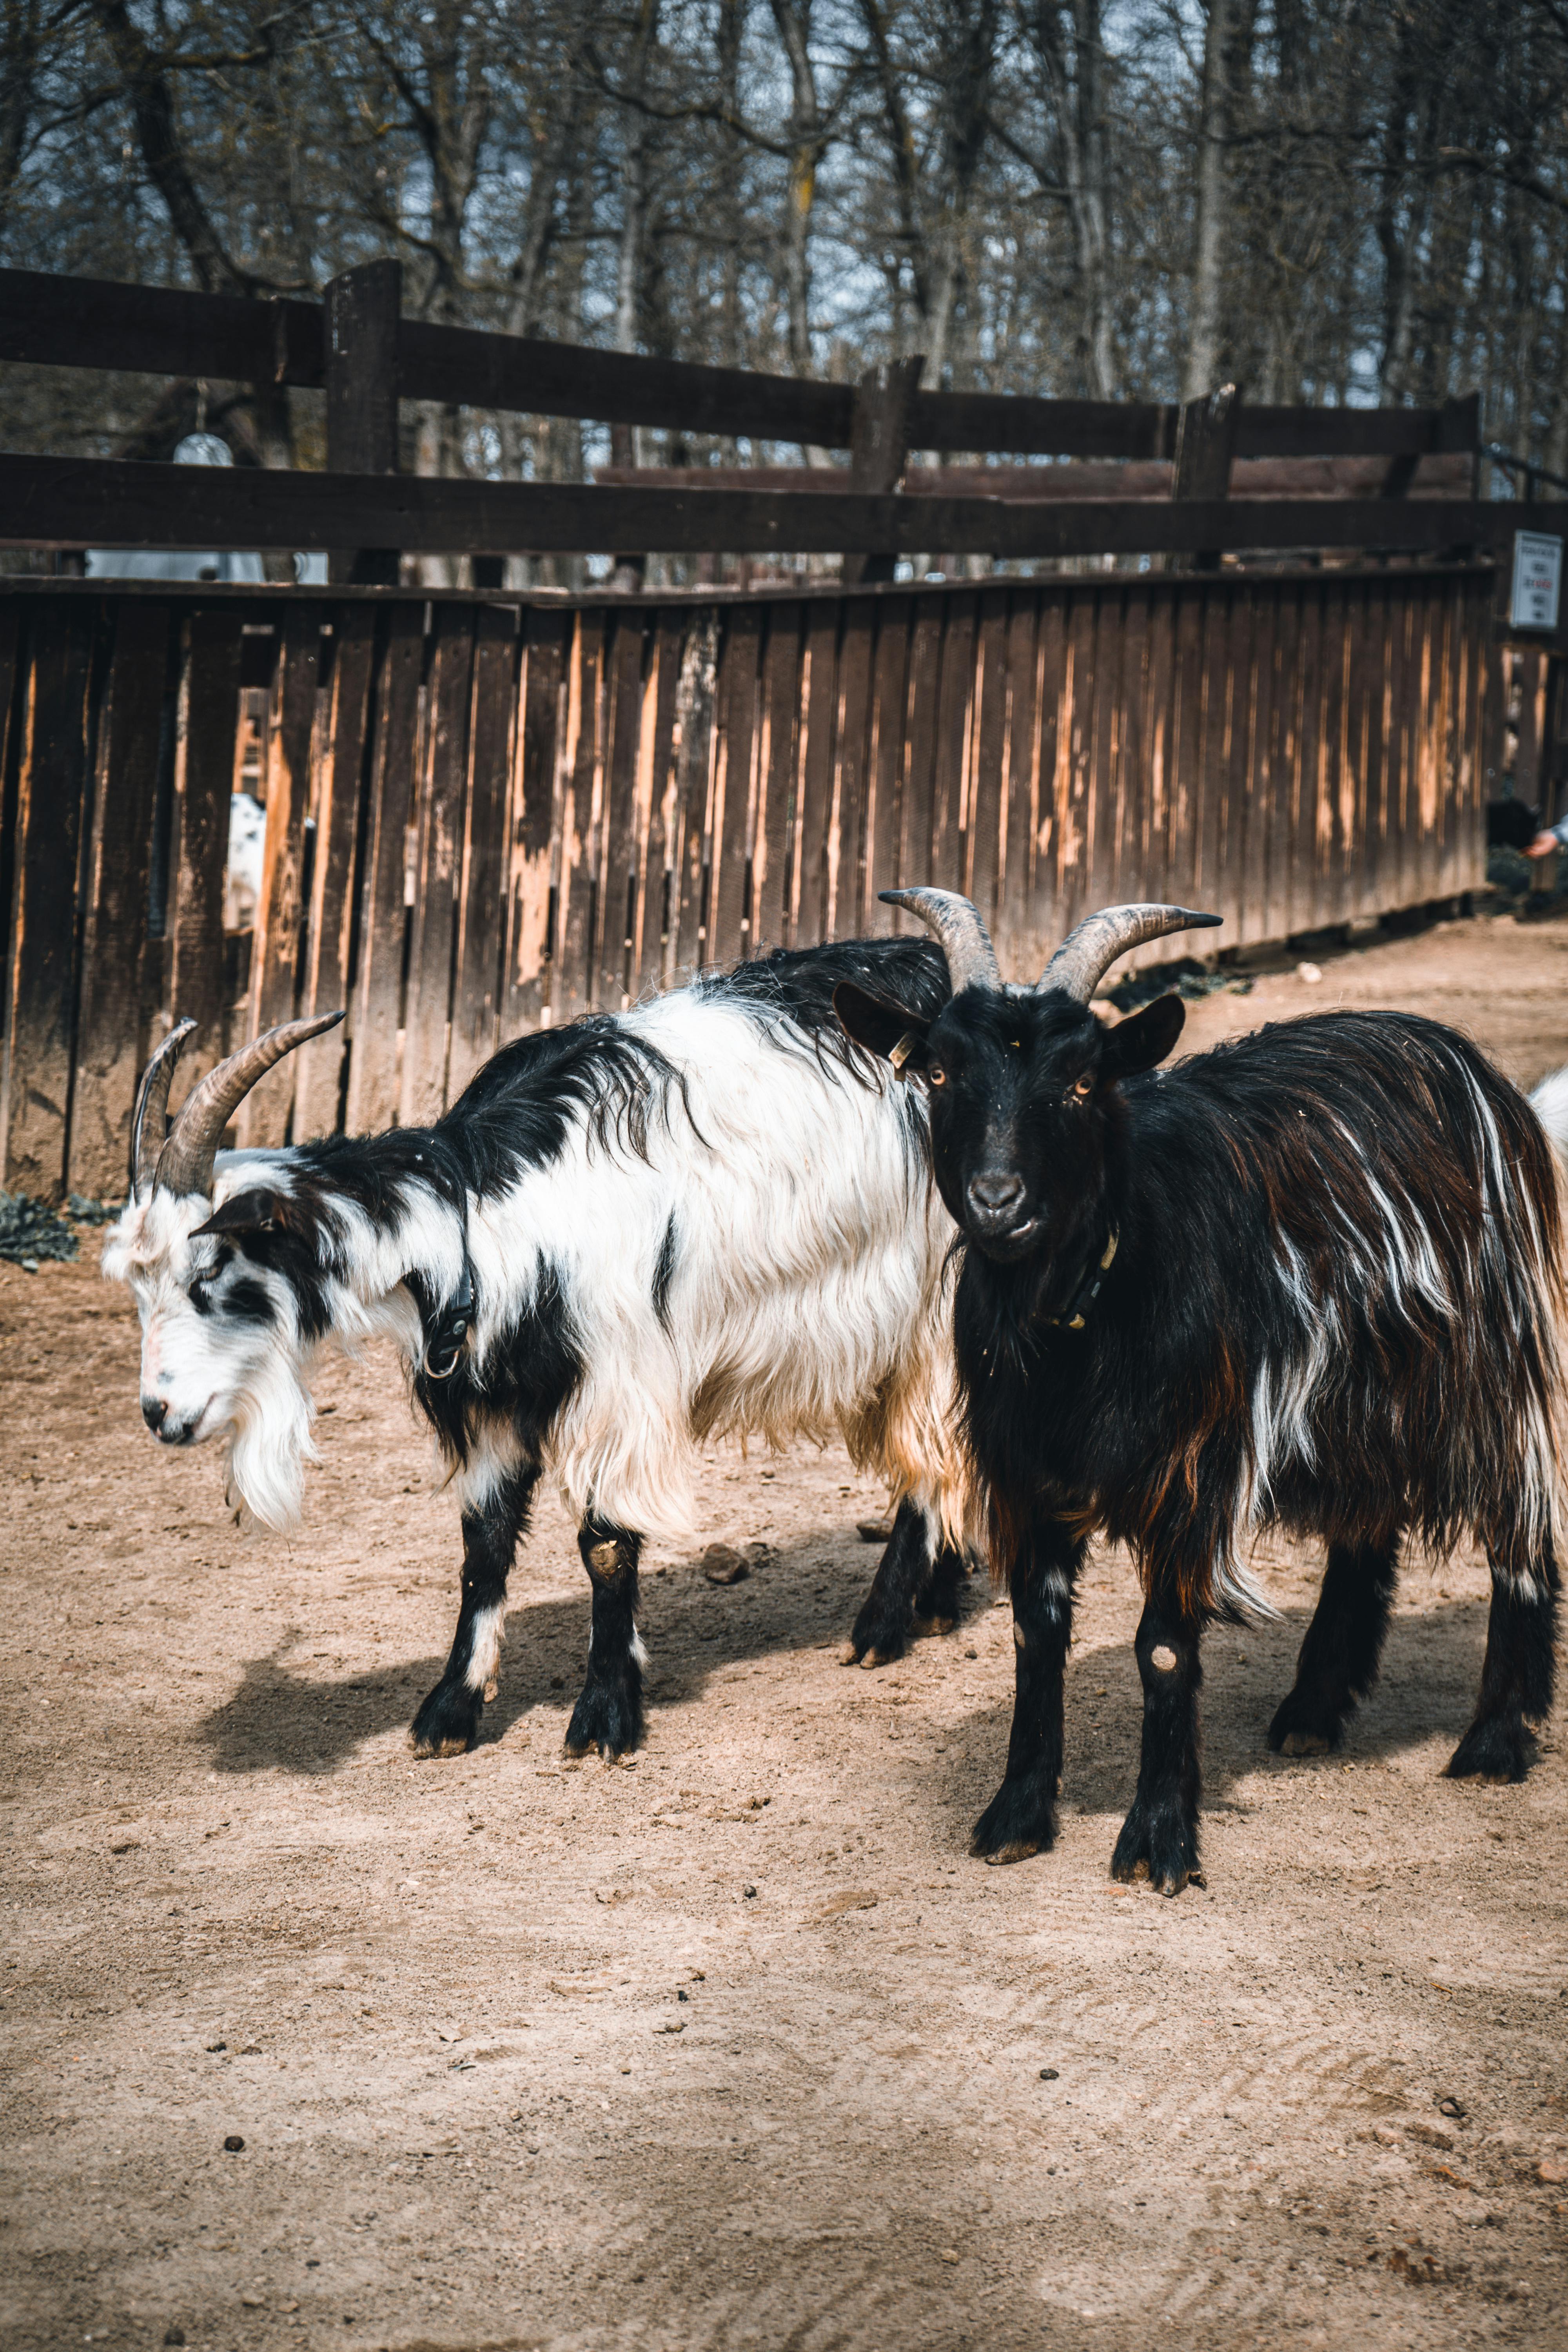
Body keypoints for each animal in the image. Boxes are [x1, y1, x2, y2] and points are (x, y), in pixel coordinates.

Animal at [104, 939, 972, 1761]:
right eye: (138, 1289)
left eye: (212, 1269)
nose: (159, 1414)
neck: (485, 1224)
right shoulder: (493, 1401)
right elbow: (481, 1549)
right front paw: (449, 1712)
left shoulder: (618, 1392)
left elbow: (606, 1547)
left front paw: (605, 1716)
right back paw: (937, 1603)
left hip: (935, 1312)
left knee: (928, 1452)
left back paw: (882, 1625)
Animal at [834, 888, 1564, 1894]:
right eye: (939, 1072)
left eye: (1082, 1082)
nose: (996, 1202)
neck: (1087, 1315)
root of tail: (1456, 1054)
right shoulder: (1026, 1472)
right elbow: (1033, 1635)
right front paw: (1014, 1816)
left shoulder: (1184, 1471)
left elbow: (1164, 1649)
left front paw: (1157, 1840)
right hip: (1351, 1396)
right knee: (1366, 1525)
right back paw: (1312, 1708)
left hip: (1482, 1363)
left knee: (1518, 1526)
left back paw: (1495, 1738)